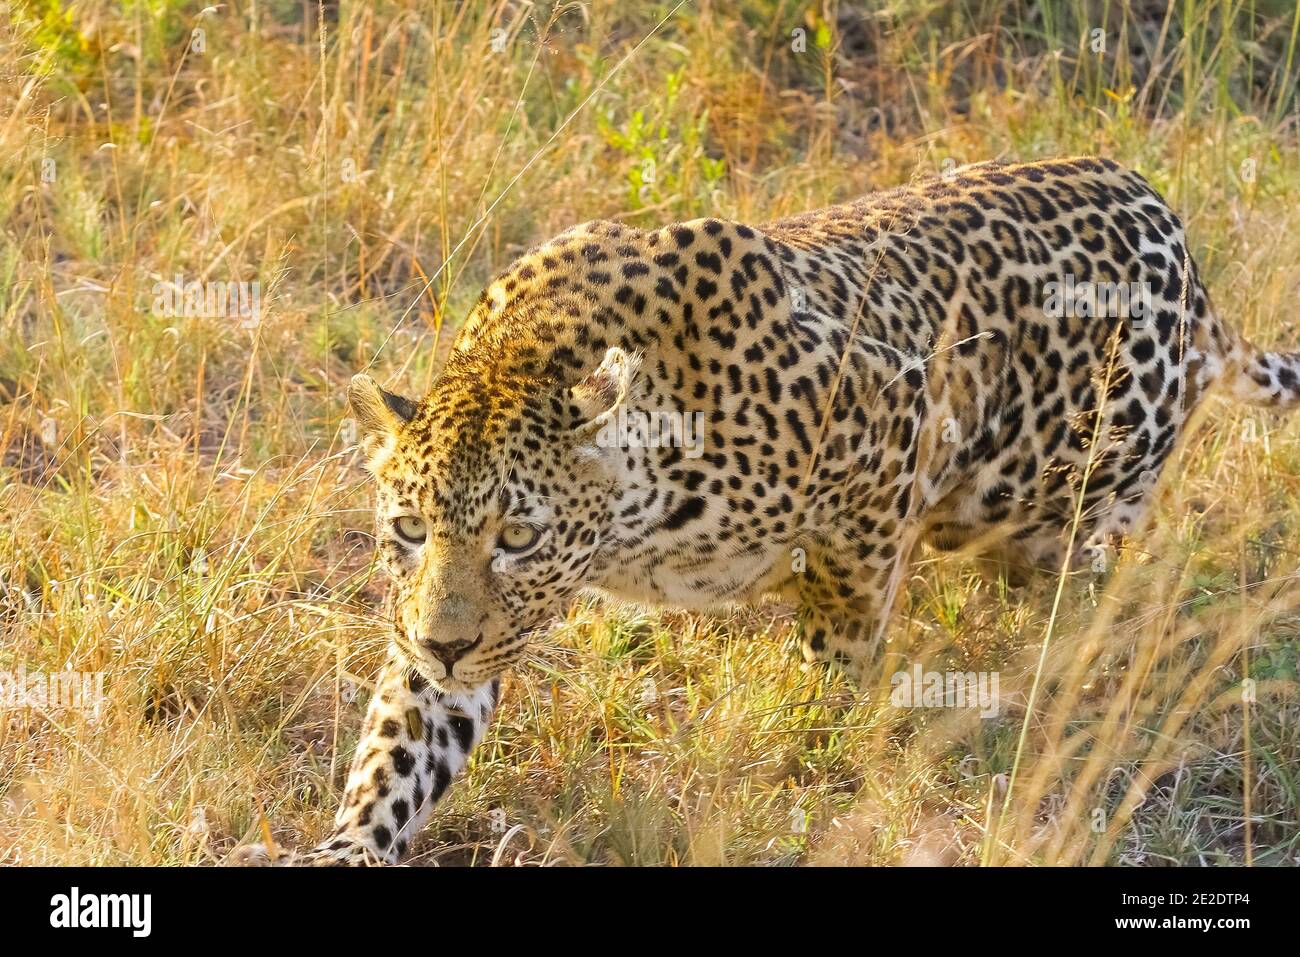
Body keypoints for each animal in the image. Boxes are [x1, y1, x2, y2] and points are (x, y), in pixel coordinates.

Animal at [233, 156, 1299, 865]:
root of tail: (1174, 228)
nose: (446, 643)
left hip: (1068, 478)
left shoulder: (889, 425)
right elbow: (399, 744)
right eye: (409, 530)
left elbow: (843, 632)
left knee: (1088, 578)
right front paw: (348, 842)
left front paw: (824, 750)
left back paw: (1064, 665)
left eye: (519, 537)